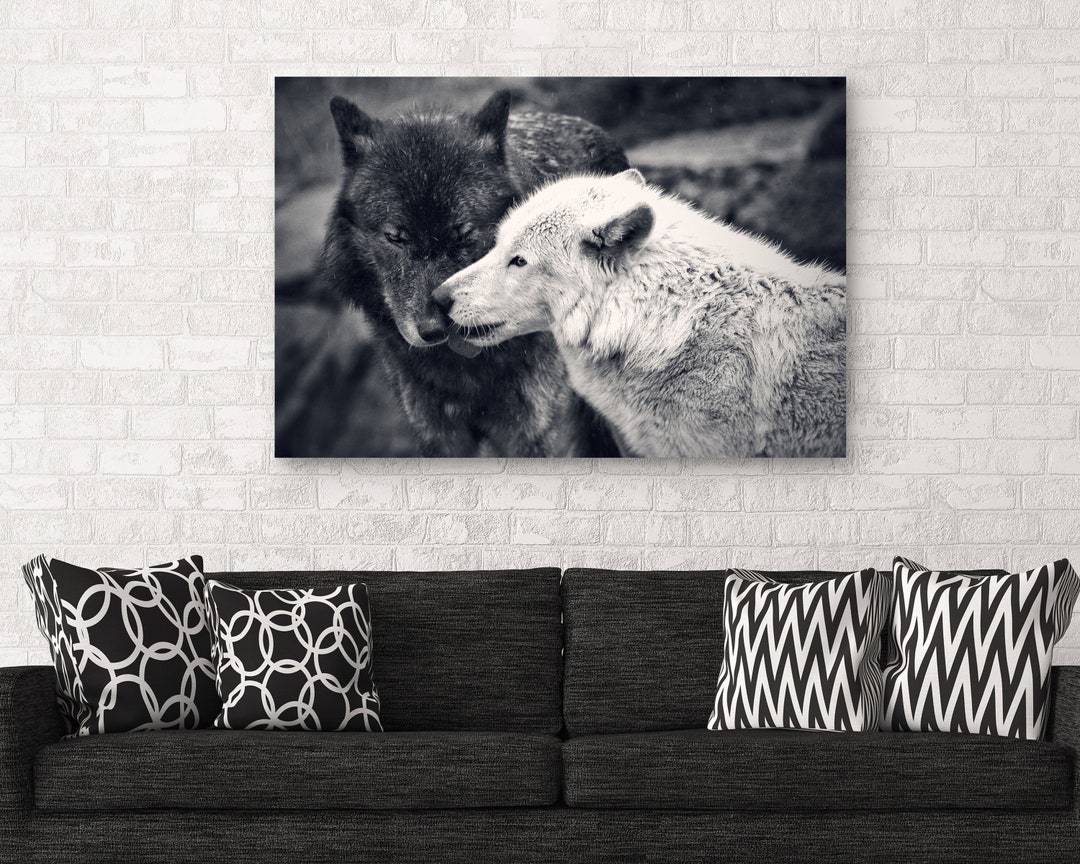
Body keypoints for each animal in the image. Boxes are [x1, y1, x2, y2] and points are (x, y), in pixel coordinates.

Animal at [318, 90, 628, 457]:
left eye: (463, 234)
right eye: (395, 237)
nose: (434, 329)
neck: (464, 363)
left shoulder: (537, 434)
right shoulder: (439, 436)